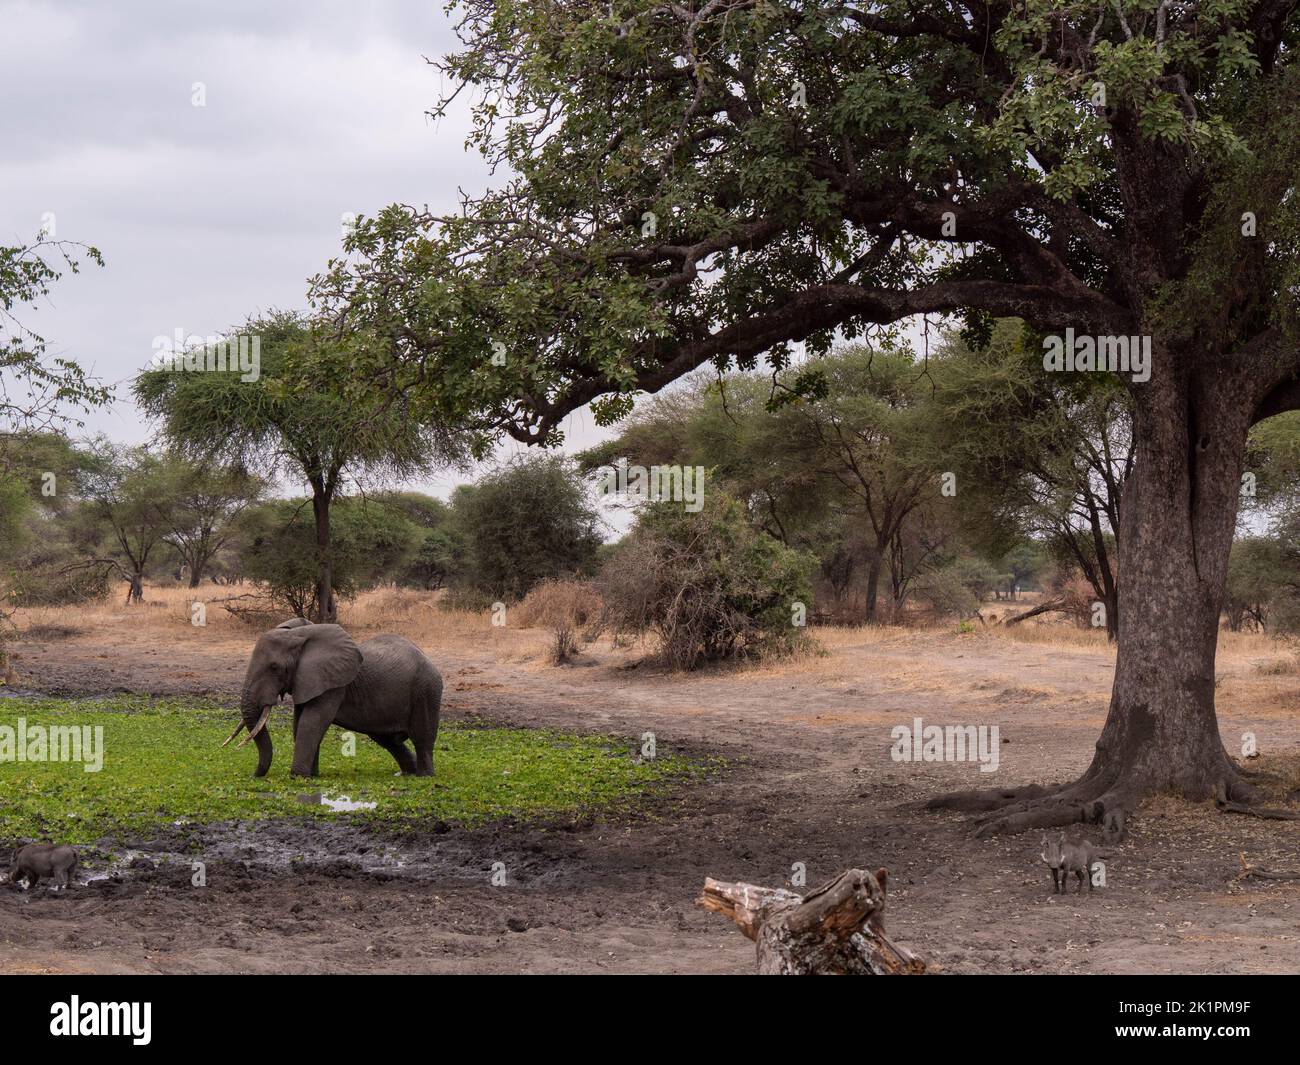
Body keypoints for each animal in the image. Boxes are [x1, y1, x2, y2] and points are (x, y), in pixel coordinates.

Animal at [223, 618, 443, 778]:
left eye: (274, 667)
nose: (255, 776)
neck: (301, 635)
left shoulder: (333, 684)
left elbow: (312, 722)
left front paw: (298, 777)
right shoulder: (307, 680)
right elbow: (299, 723)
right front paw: (312, 776)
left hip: (426, 691)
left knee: (421, 737)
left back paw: (424, 776)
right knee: (387, 739)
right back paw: (407, 773)